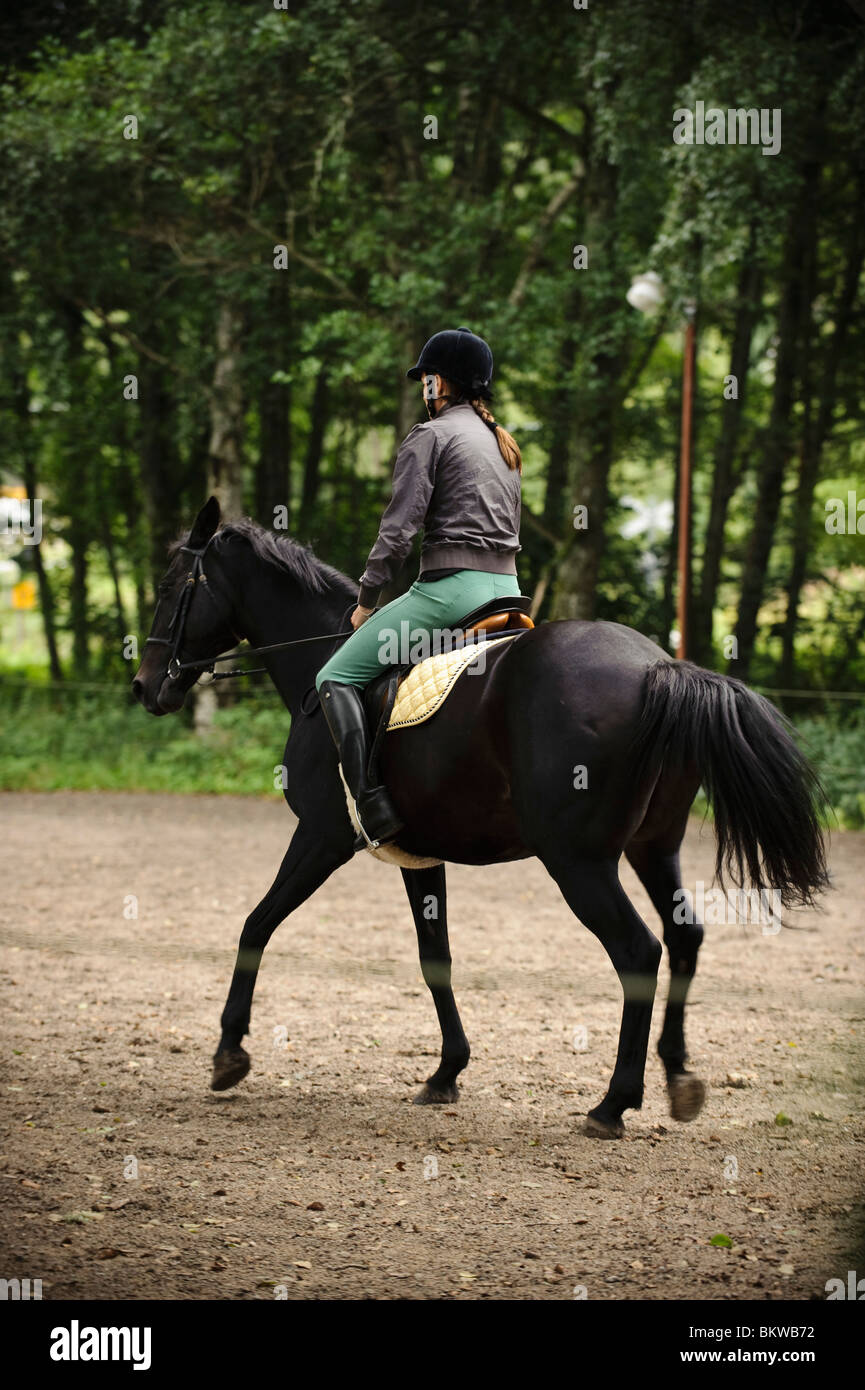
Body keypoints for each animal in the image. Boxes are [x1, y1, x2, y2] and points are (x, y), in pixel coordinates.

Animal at [132, 497, 829, 1139]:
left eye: (169, 587)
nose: (144, 686)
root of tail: (660, 666)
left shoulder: (322, 837)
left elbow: (256, 925)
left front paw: (229, 1052)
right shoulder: (419, 854)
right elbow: (434, 957)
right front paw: (446, 1072)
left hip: (578, 862)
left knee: (638, 951)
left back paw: (612, 1105)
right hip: (654, 847)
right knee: (684, 938)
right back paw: (678, 1078)